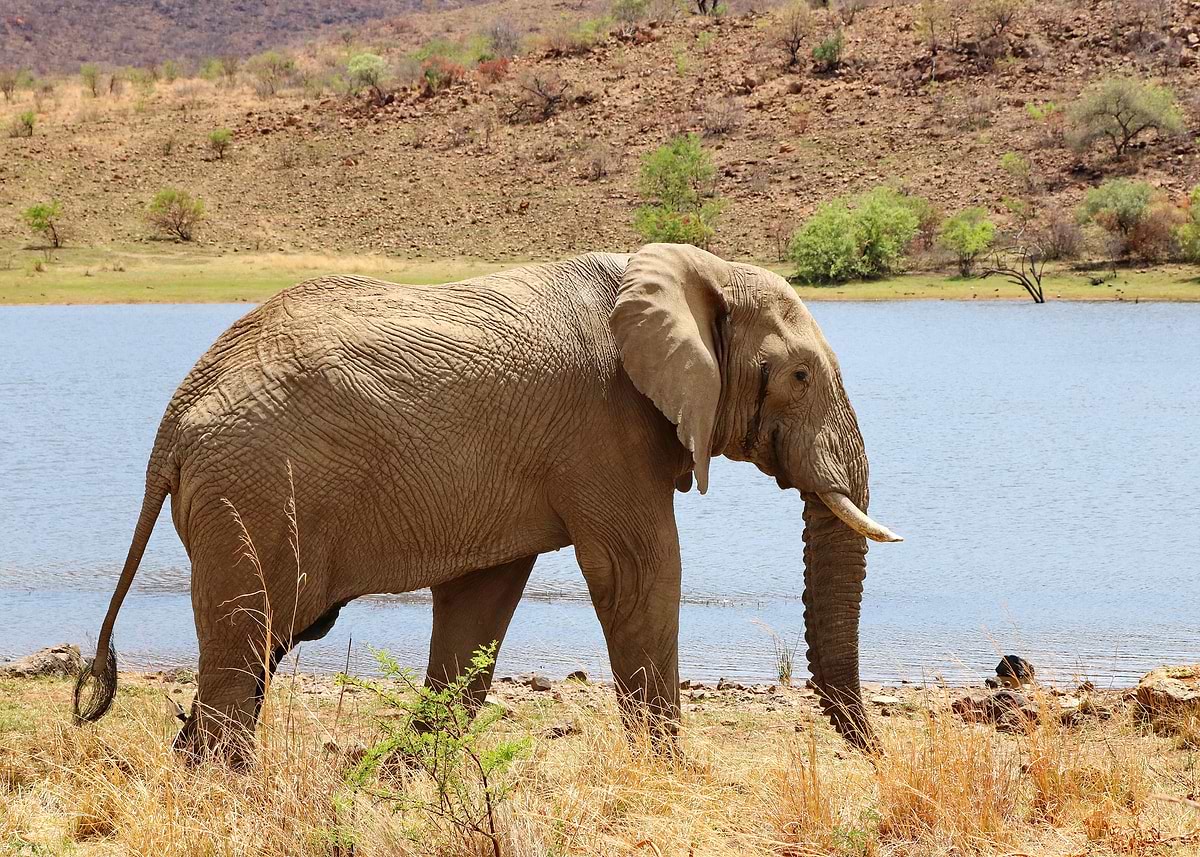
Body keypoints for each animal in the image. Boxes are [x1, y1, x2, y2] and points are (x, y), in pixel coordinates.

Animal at [74, 242, 901, 762]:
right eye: (799, 375)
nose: (877, 755)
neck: (694, 267)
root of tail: (175, 417)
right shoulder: (605, 429)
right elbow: (641, 573)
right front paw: (671, 774)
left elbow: (482, 600)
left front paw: (403, 781)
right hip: (250, 495)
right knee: (244, 646)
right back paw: (225, 788)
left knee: (255, 654)